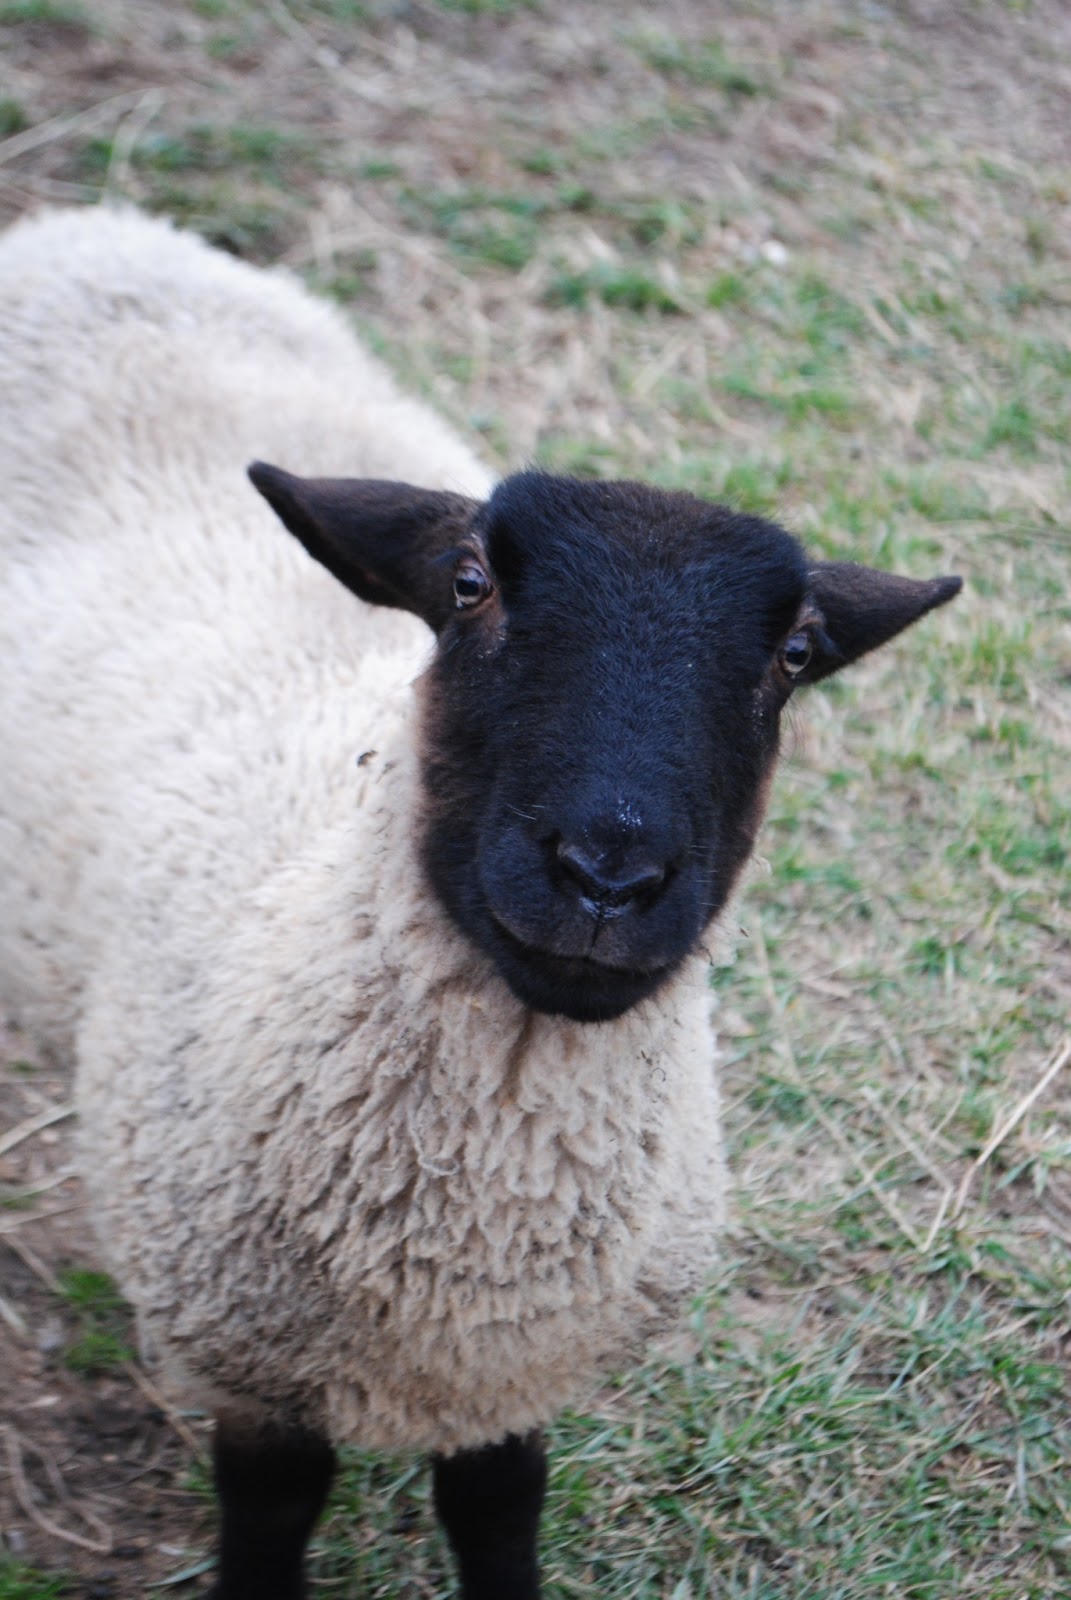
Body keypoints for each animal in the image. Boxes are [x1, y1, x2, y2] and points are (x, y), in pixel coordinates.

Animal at [0, 204, 961, 1600]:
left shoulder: (512, 1377)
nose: (608, 876)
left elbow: (501, 1509)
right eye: (469, 585)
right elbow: (272, 1514)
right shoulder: (249, 1365)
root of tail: (92, 226)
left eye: (794, 653)